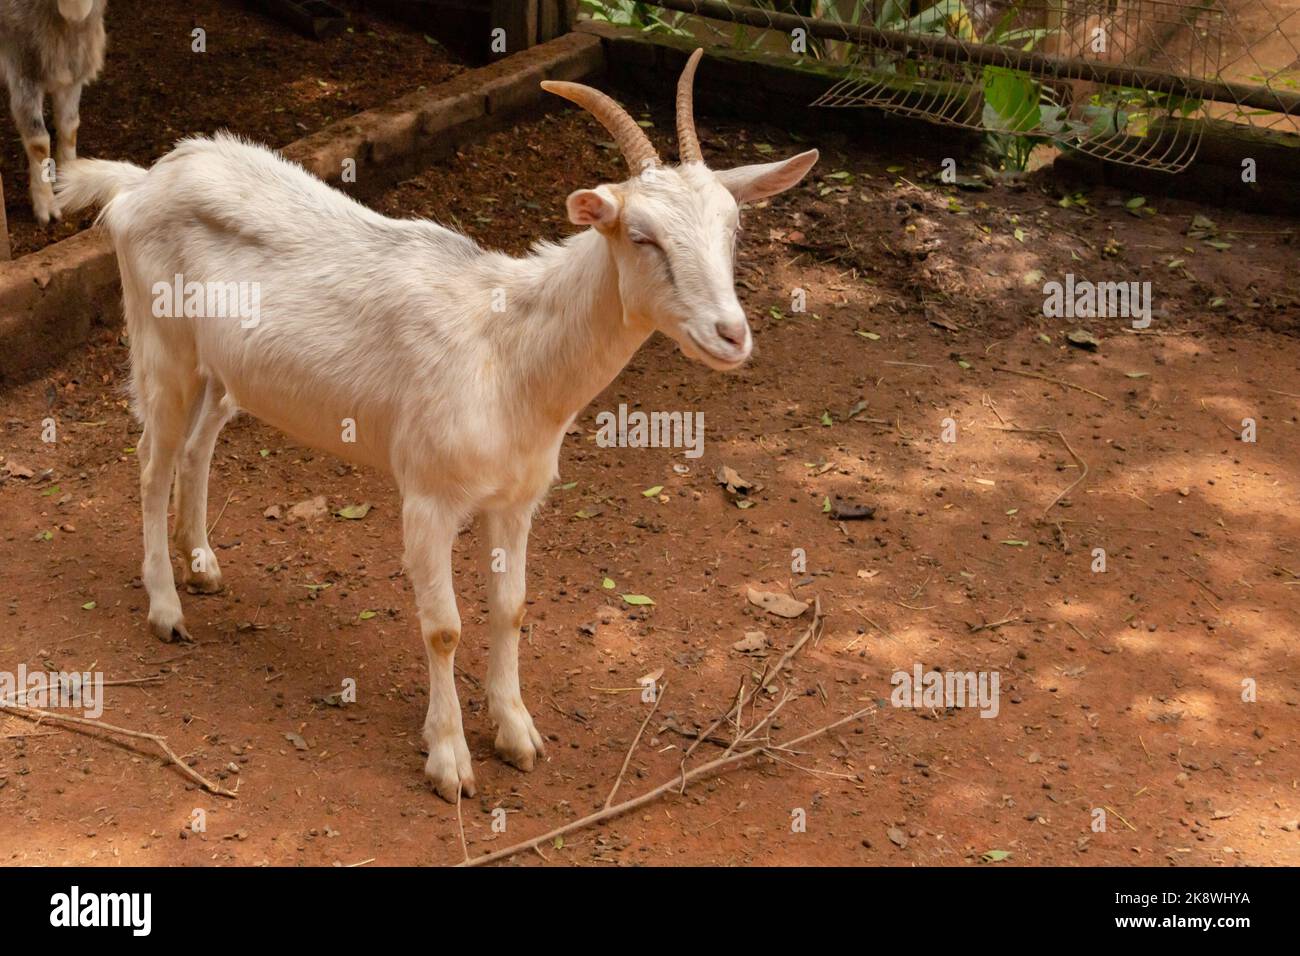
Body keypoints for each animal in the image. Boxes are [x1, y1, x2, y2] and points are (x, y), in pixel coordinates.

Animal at [0, 0, 106, 224]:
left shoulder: (72, 60)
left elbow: (69, 125)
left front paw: (72, 179)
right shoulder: (23, 66)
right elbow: (39, 142)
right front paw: (46, 205)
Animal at [56, 50, 818, 801]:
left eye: (733, 229)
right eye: (641, 236)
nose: (731, 335)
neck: (509, 353)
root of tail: (142, 180)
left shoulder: (517, 500)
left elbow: (511, 607)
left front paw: (516, 733)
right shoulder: (426, 496)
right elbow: (445, 627)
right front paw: (449, 759)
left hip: (220, 369)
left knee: (198, 444)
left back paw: (204, 564)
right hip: (161, 344)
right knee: (151, 461)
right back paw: (166, 608)